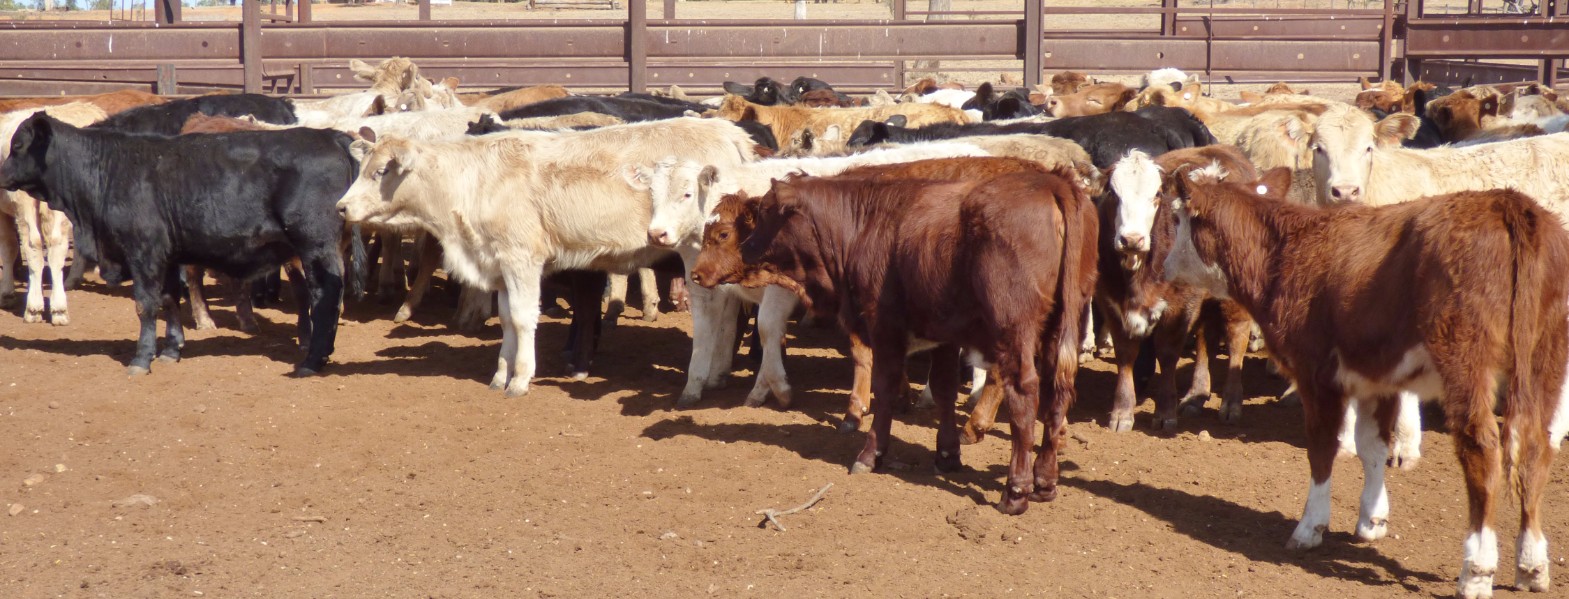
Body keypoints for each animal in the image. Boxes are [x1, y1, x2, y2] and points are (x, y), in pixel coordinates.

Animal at [0, 114, 360, 376]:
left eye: (17, 145)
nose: (0, 175)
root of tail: (331, 136)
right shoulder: (168, 256)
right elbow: (170, 299)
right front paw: (172, 350)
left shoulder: (143, 253)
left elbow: (145, 305)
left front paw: (141, 359)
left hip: (315, 244)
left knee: (325, 296)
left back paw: (312, 361)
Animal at [334, 118, 758, 396]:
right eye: (365, 167)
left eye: (381, 171)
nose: (341, 207)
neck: (476, 180)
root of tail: (728, 132)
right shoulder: (500, 263)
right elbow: (507, 319)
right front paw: (500, 375)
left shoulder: (522, 259)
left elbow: (524, 319)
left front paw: (521, 378)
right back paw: (717, 373)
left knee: (715, 312)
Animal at [691, 157, 1098, 515]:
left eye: (728, 231)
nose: (696, 274)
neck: (865, 222)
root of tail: (1053, 181)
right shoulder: (944, 334)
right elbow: (944, 389)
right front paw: (947, 454)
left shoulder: (884, 326)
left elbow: (884, 389)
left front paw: (870, 453)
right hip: (1063, 329)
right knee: (1058, 393)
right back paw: (1045, 482)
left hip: (1014, 331)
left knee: (1024, 395)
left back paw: (1016, 491)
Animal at [1162, 167, 1569, 599]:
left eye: (1177, 218)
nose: (1164, 266)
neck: (1284, 253)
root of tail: (1506, 202)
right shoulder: (1378, 380)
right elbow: (1371, 445)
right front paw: (1372, 520)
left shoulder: (1315, 374)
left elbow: (1322, 449)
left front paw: (1310, 526)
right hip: (1546, 355)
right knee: (1535, 446)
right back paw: (1532, 564)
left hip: (1466, 359)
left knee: (1483, 448)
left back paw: (1477, 569)